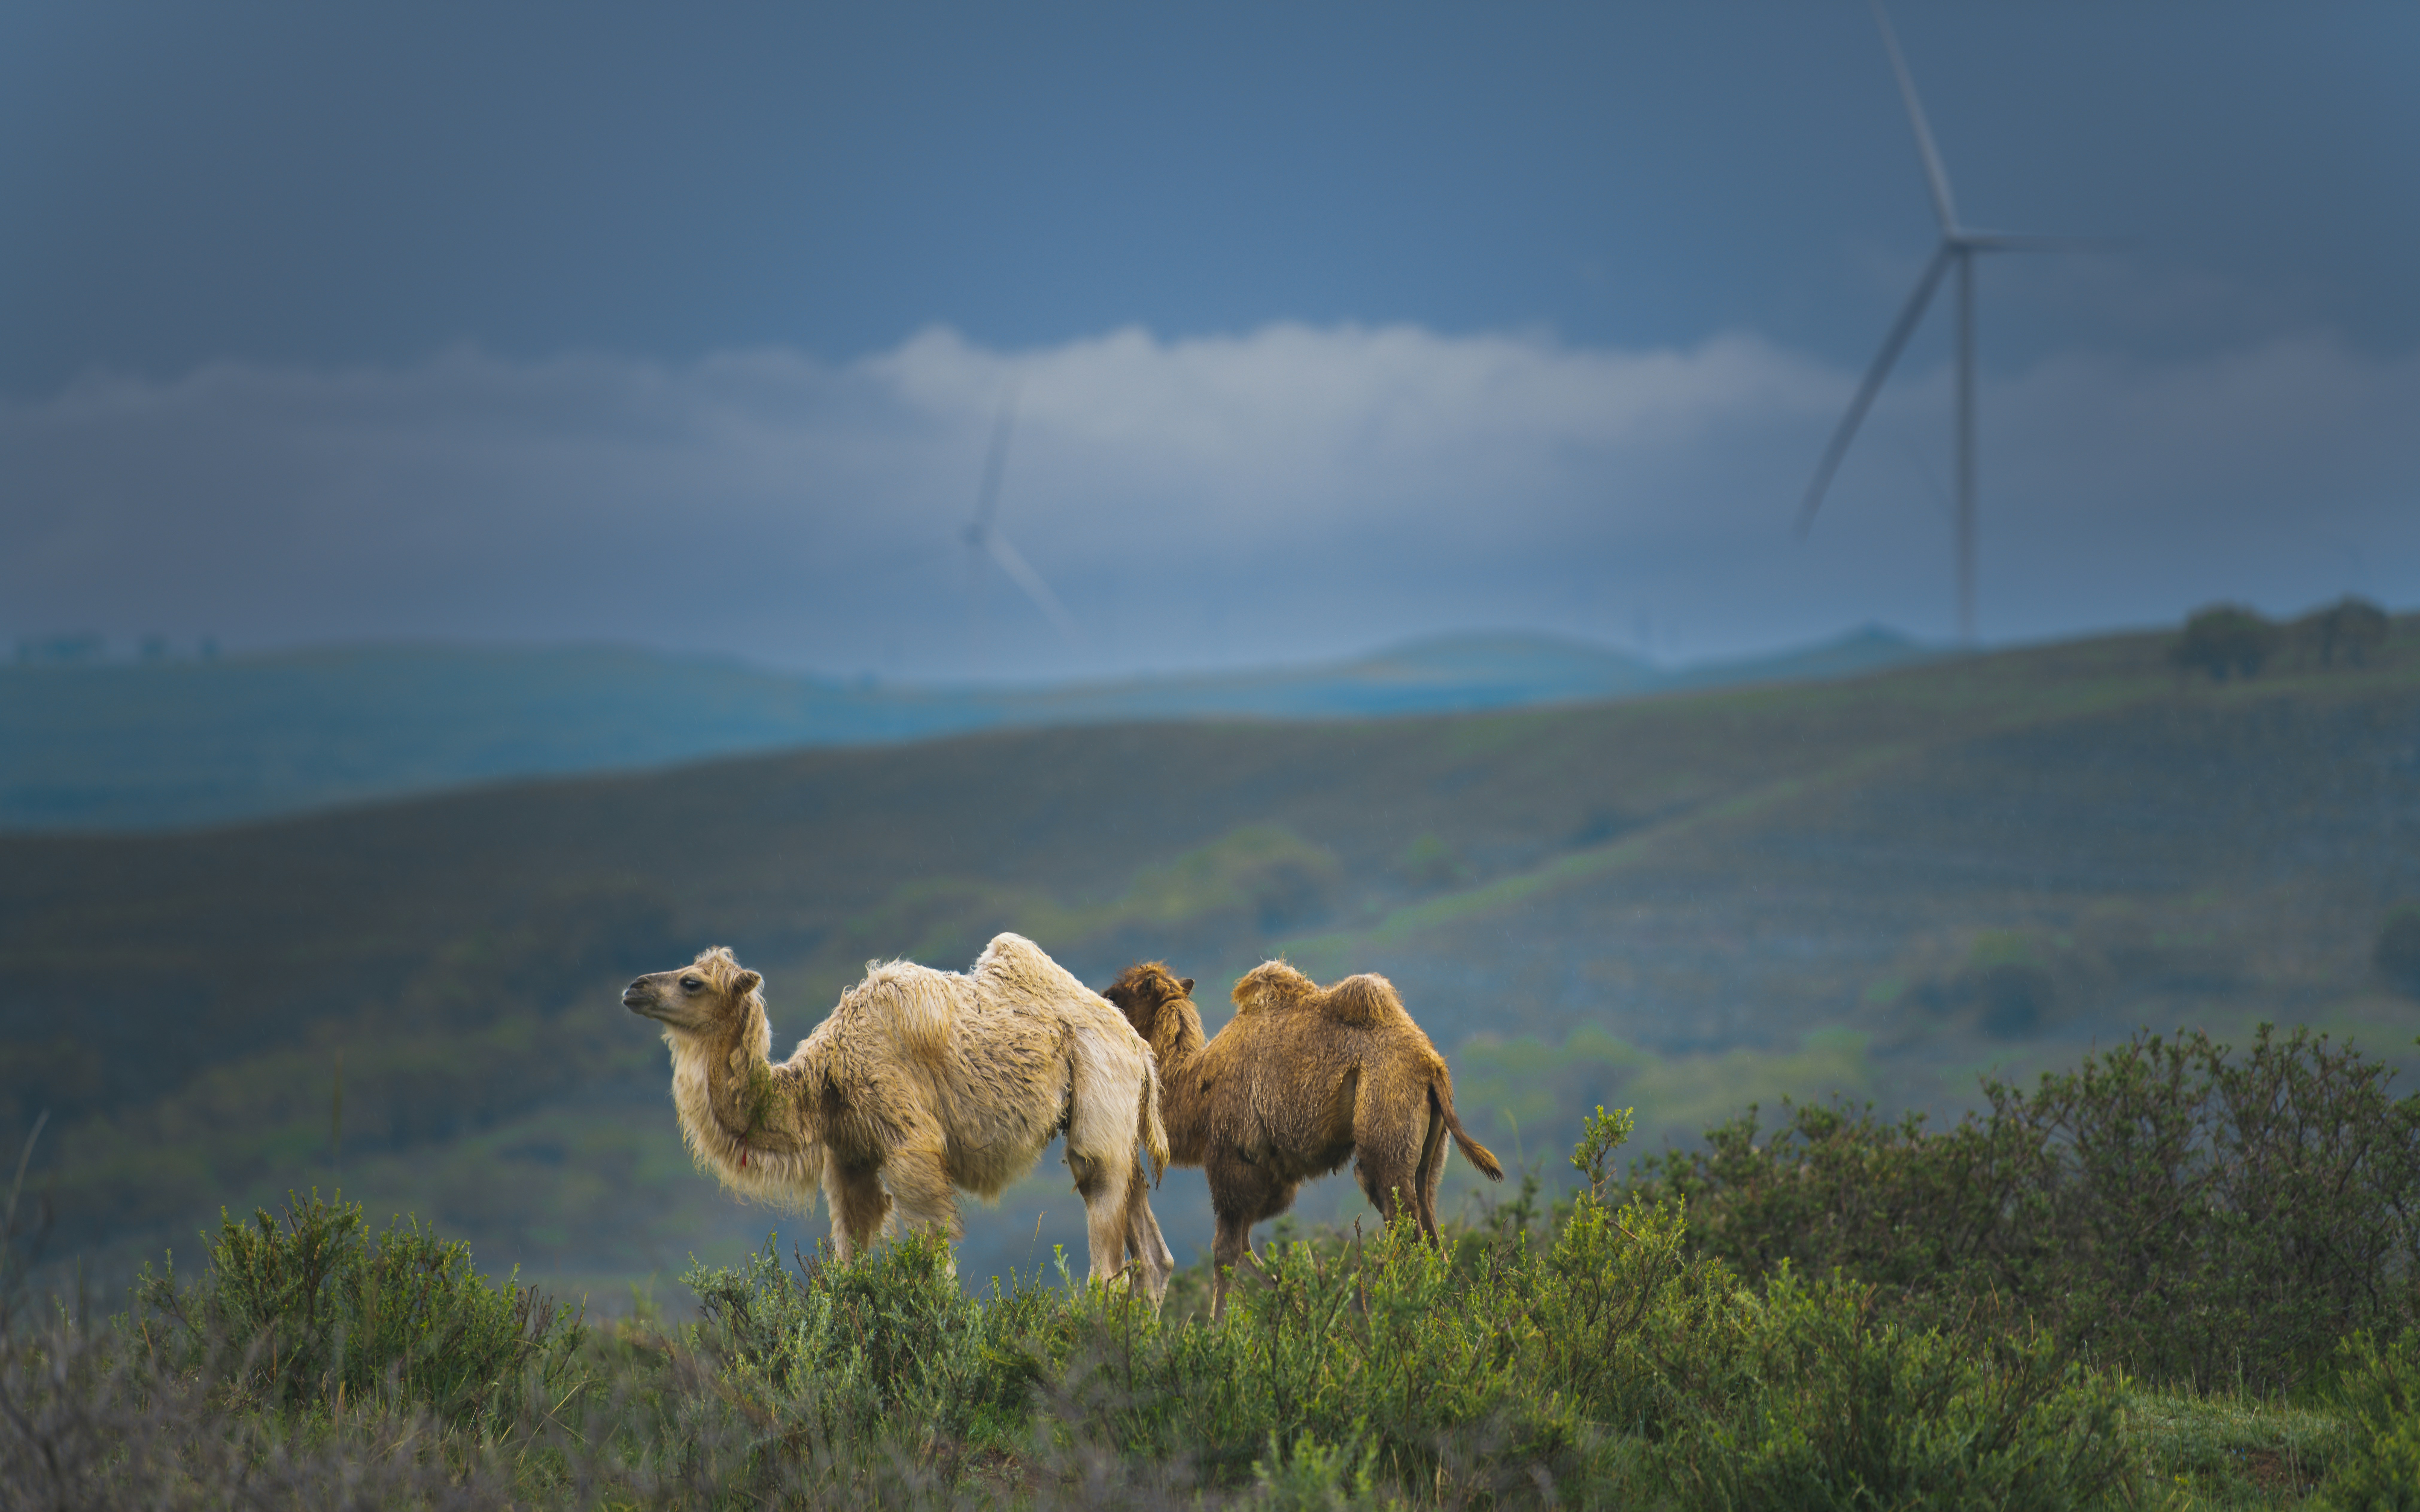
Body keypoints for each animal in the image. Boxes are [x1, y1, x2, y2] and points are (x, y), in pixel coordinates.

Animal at [625, 933, 1175, 1304]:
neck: (825, 1082)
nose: (634, 987)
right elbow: (852, 1252)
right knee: (1150, 1249)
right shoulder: (849, 1156)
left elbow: (934, 1250)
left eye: (691, 982)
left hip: (1099, 1090)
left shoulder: (909, 1142)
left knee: (1103, 1225)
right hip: (1121, 1121)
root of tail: (1138, 1046)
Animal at [1101, 959, 1502, 1317]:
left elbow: (1226, 1252)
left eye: (1121, 994)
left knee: (1402, 1223)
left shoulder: (1233, 1163)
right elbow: (1244, 1248)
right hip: (1429, 1159)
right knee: (1431, 1229)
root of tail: (1432, 1066)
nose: (1103, 1000)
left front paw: (1218, 1333)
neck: (1196, 1084)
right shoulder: (1269, 1179)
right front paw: (1296, 1307)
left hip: (1386, 1142)